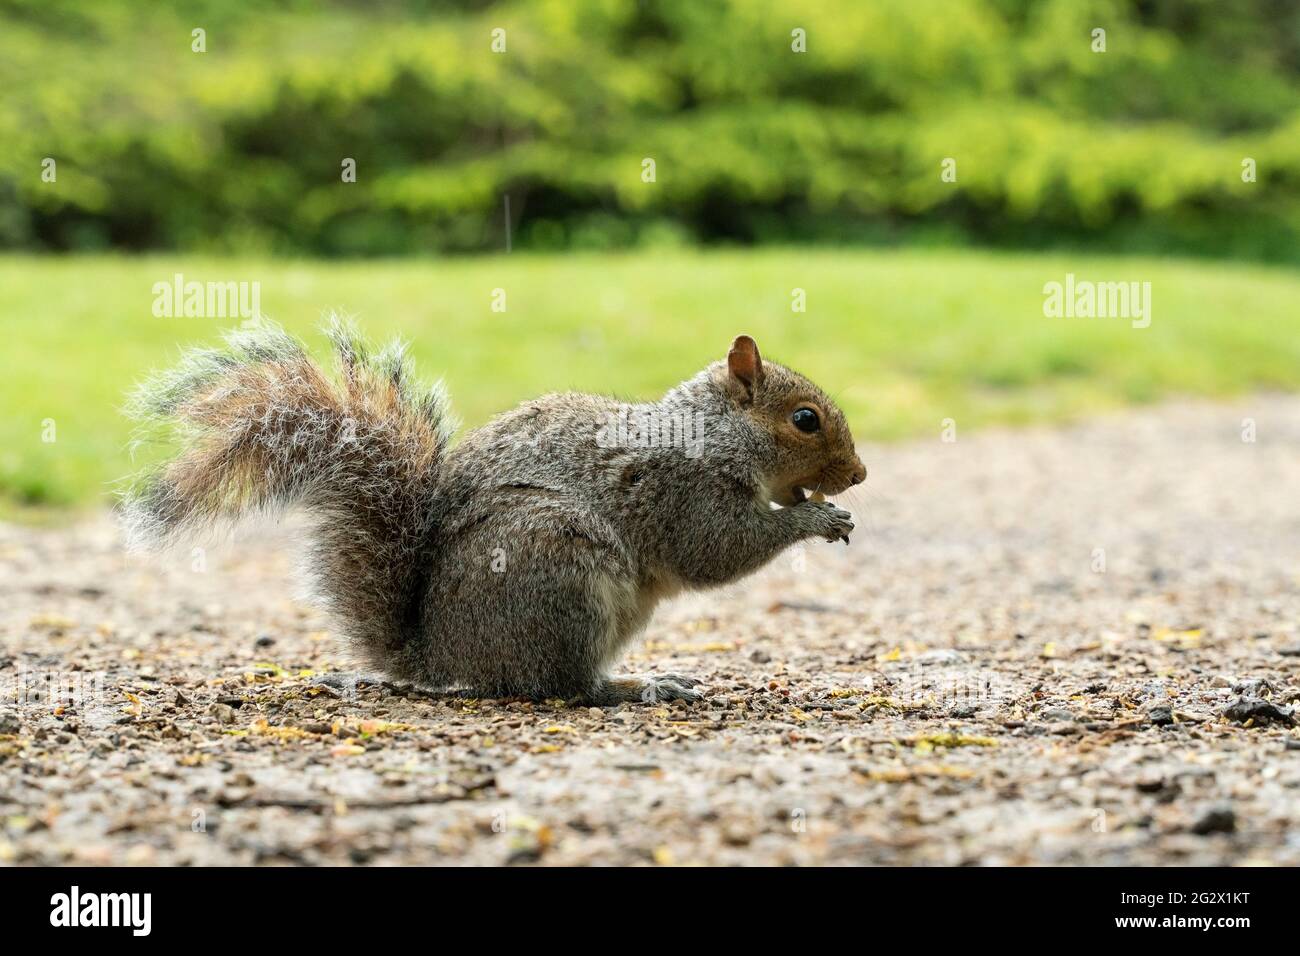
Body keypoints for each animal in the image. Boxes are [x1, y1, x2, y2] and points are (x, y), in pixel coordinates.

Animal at [121, 319, 865, 704]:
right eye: (805, 420)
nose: (859, 475)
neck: (709, 435)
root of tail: (440, 658)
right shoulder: (679, 491)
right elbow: (717, 549)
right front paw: (815, 521)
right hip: (558, 571)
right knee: (562, 686)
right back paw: (642, 687)